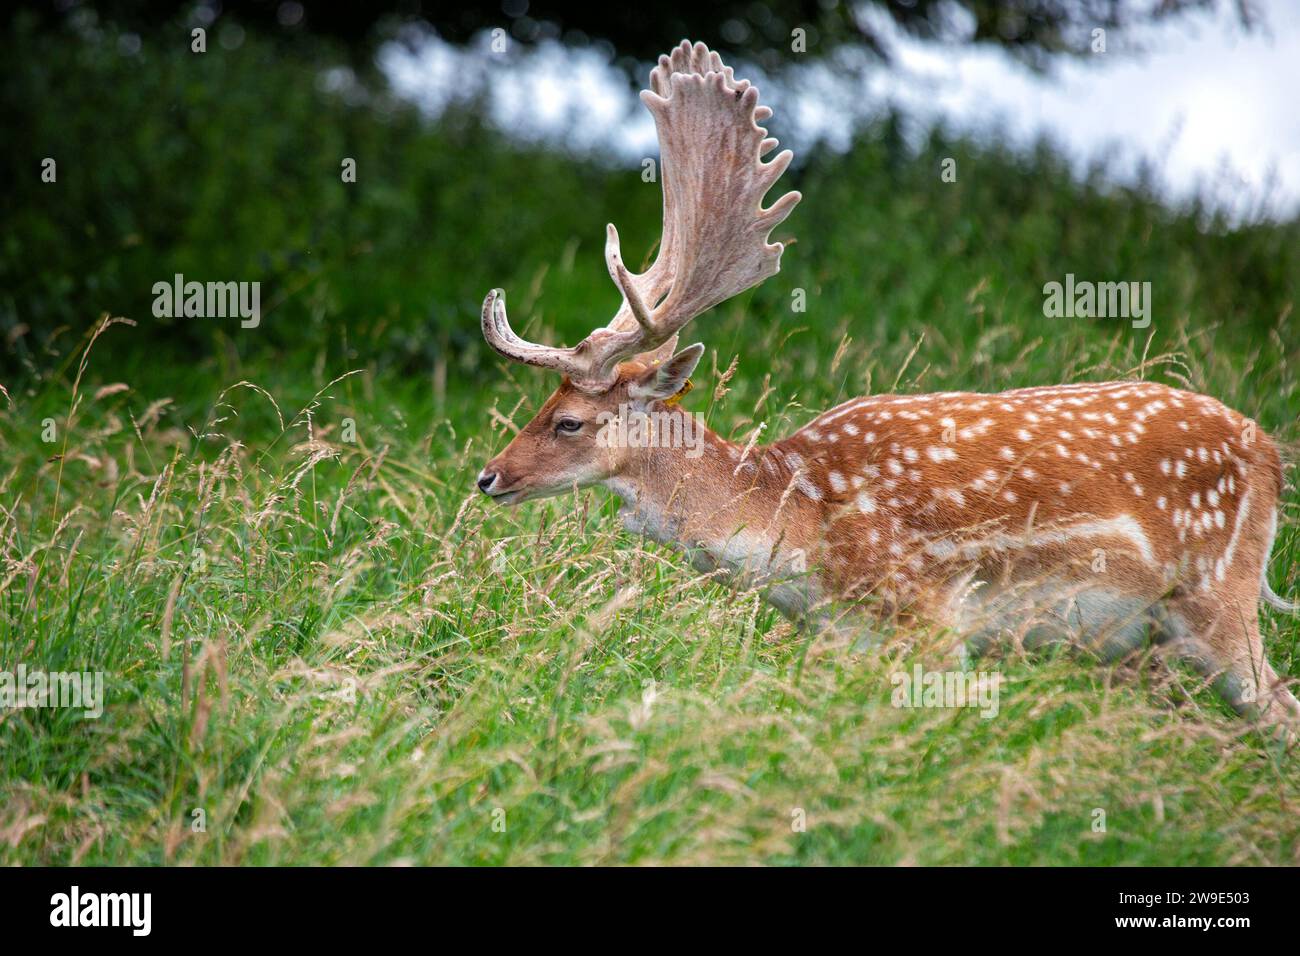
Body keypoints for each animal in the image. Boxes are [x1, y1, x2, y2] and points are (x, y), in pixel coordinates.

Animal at [475, 39, 1300, 729]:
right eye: (543, 405)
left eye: (569, 421)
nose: (488, 477)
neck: (800, 526)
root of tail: (1269, 451)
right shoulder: (845, 638)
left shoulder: (931, 619)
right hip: (1147, 638)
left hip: (1219, 597)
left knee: (1279, 710)